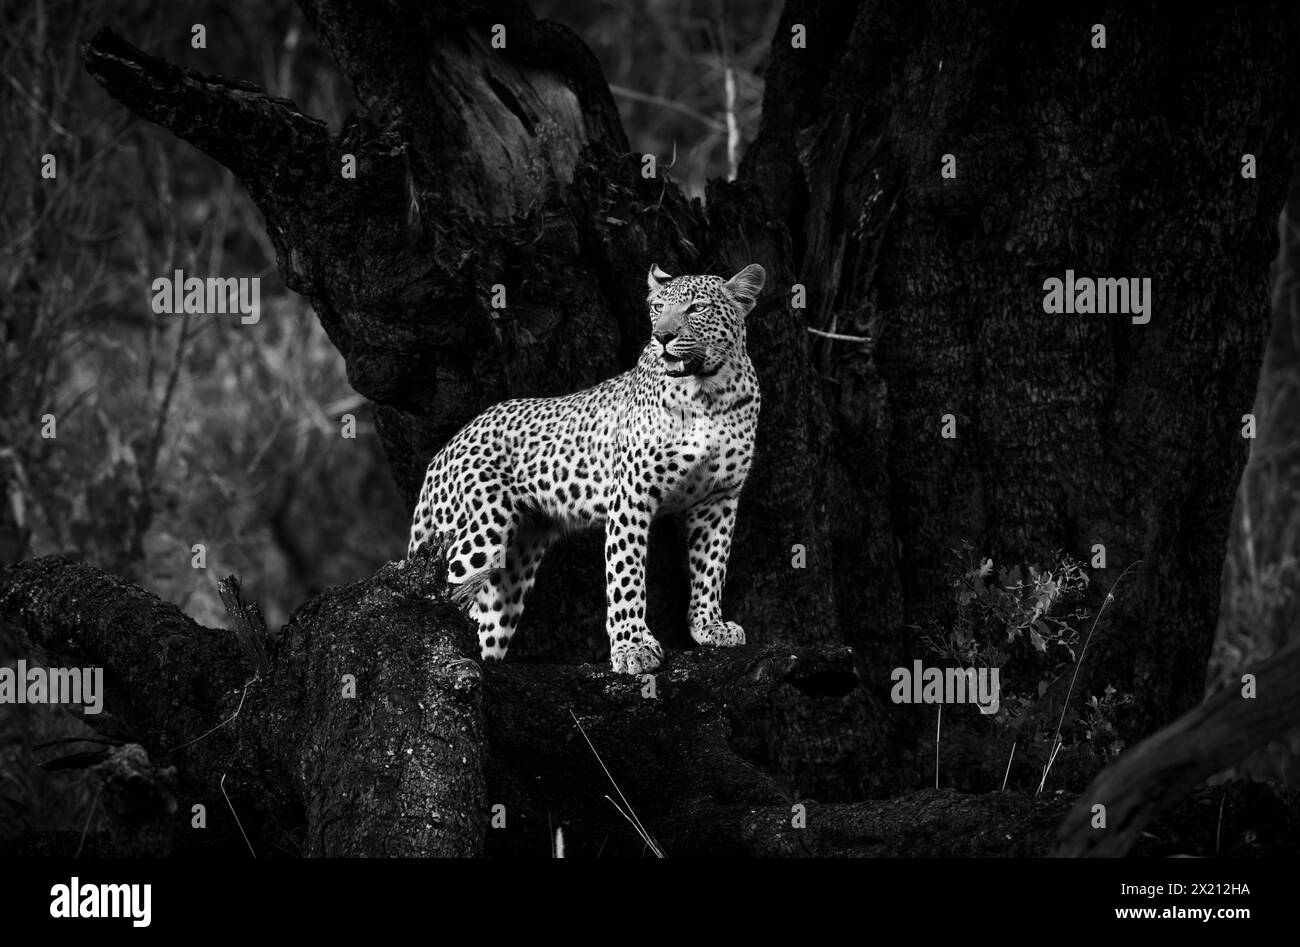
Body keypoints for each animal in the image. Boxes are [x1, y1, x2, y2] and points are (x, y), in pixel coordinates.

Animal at [407, 262, 766, 674]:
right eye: (658, 307)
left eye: (697, 308)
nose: (662, 336)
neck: (708, 390)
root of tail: (444, 450)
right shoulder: (631, 495)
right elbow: (626, 576)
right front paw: (631, 647)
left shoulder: (718, 498)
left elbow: (711, 566)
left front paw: (710, 626)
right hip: (477, 533)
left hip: (515, 558)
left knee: (487, 621)